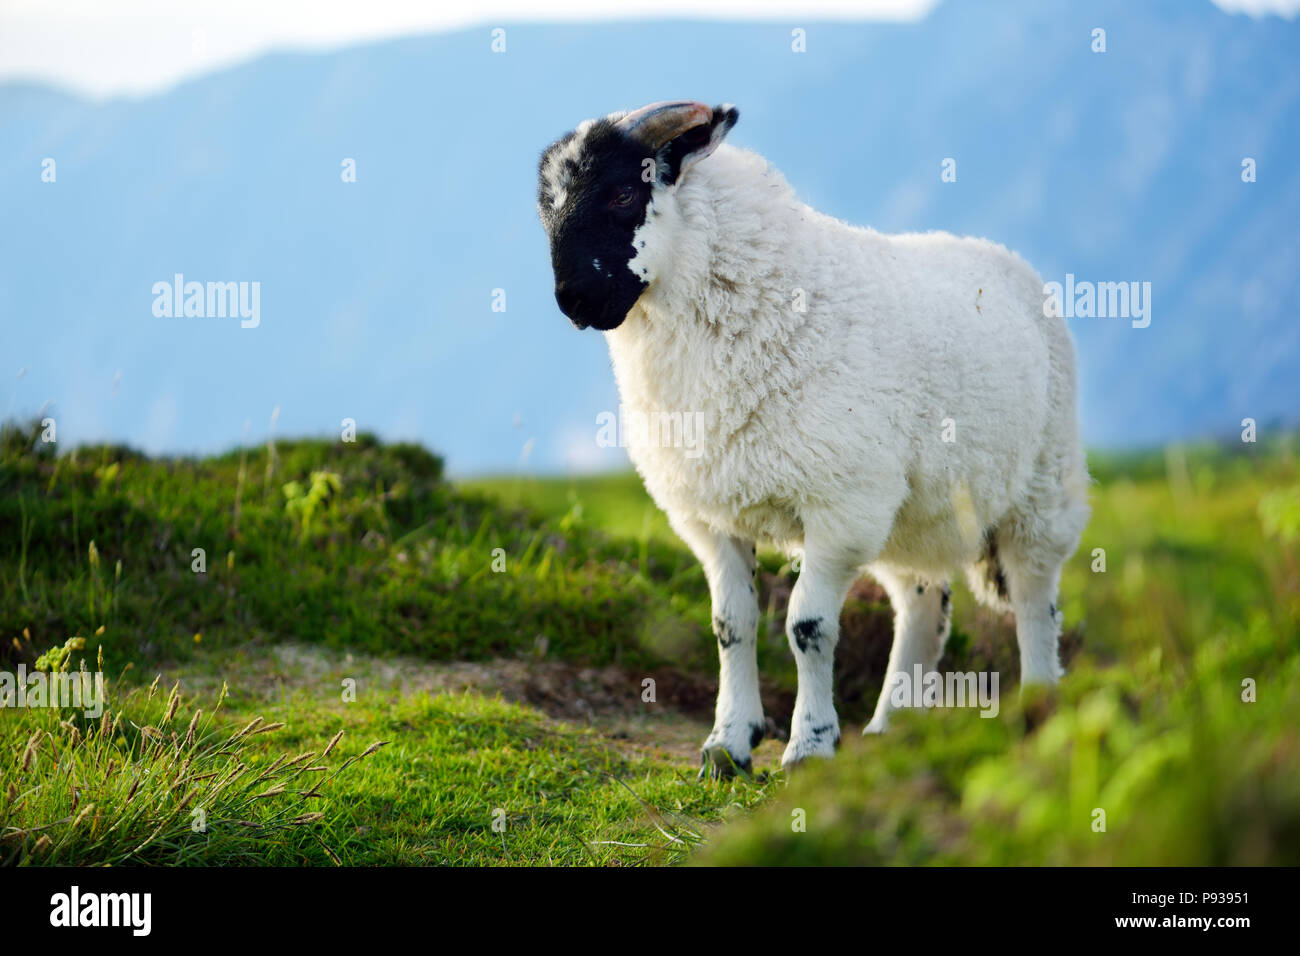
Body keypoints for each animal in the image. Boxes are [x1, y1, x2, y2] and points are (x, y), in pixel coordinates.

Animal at [537, 101, 1091, 777]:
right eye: (546, 206)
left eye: (621, 193)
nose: (574, 302)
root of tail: (998, 253)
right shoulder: (713, 516)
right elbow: (731, 624)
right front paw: (728, 745)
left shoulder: (840, 508)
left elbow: (808, 627)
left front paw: (810, 747)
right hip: (913, 508)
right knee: (921, 605)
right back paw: (891, 728)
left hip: (1041, 486)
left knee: (1036, 597)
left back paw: (1039, 706)